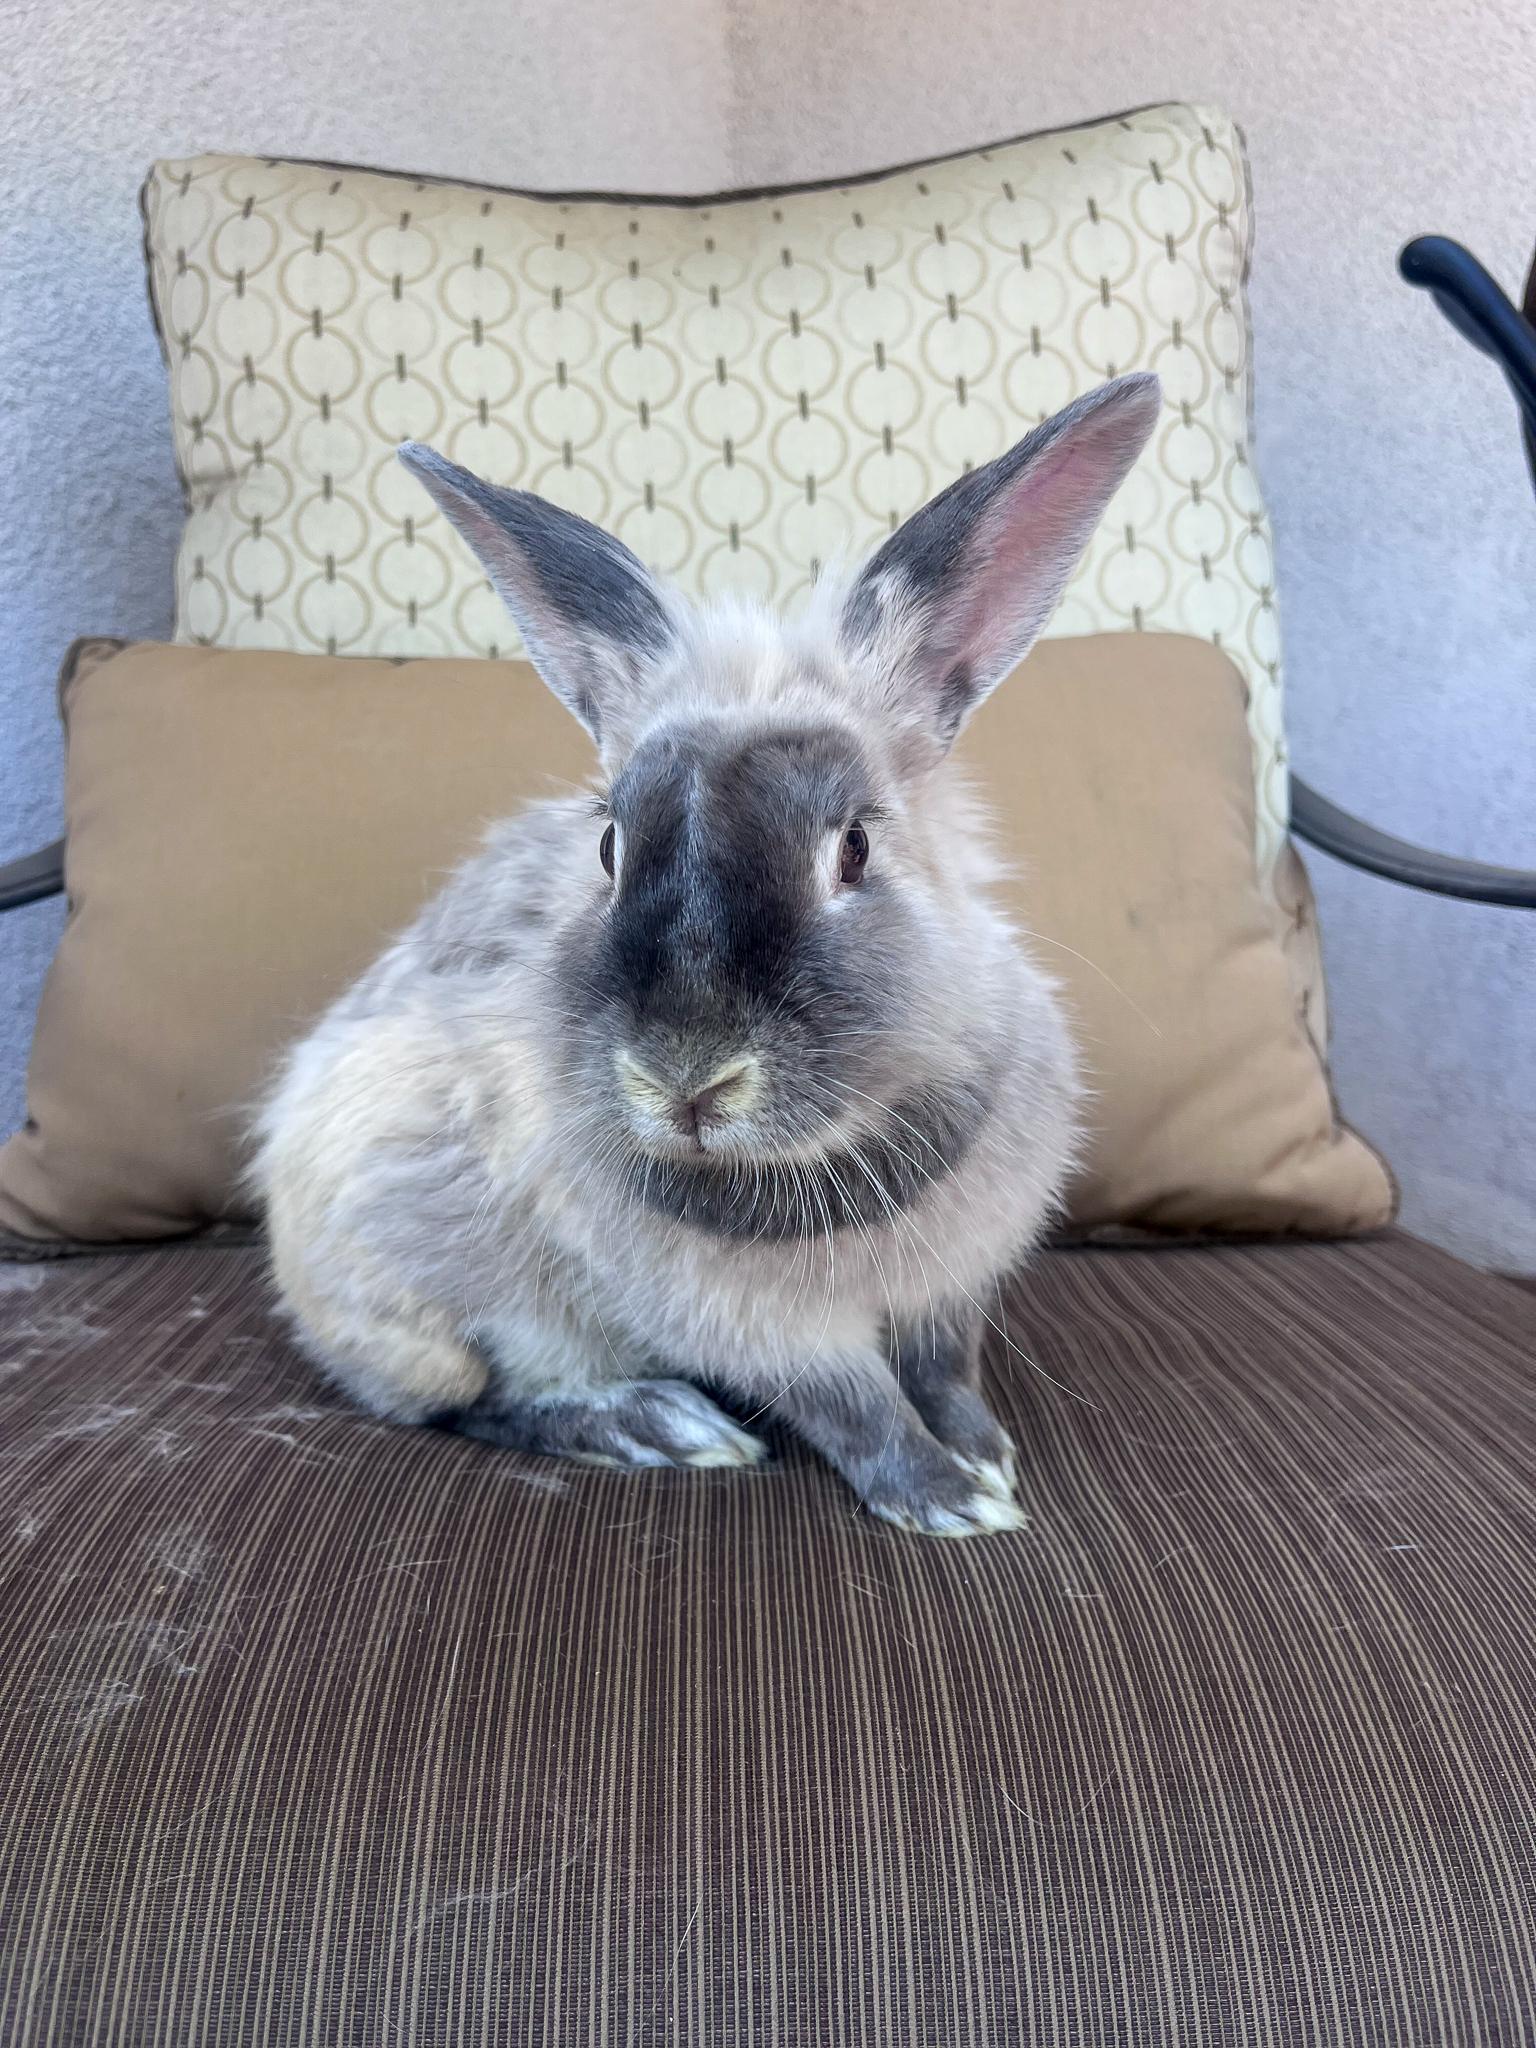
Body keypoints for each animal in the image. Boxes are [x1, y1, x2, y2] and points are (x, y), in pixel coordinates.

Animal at [252, 371, 1161, 1537]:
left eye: (854, 848)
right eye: (608, 847)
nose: (685, 1078)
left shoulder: (951, 1291)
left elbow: (945, 1371)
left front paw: (986, 1454)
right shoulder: (763, 1329)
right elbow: (857, 1407)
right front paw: (951, 1501)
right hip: (410, 1293)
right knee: (467, 1399)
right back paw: (656, 1423)